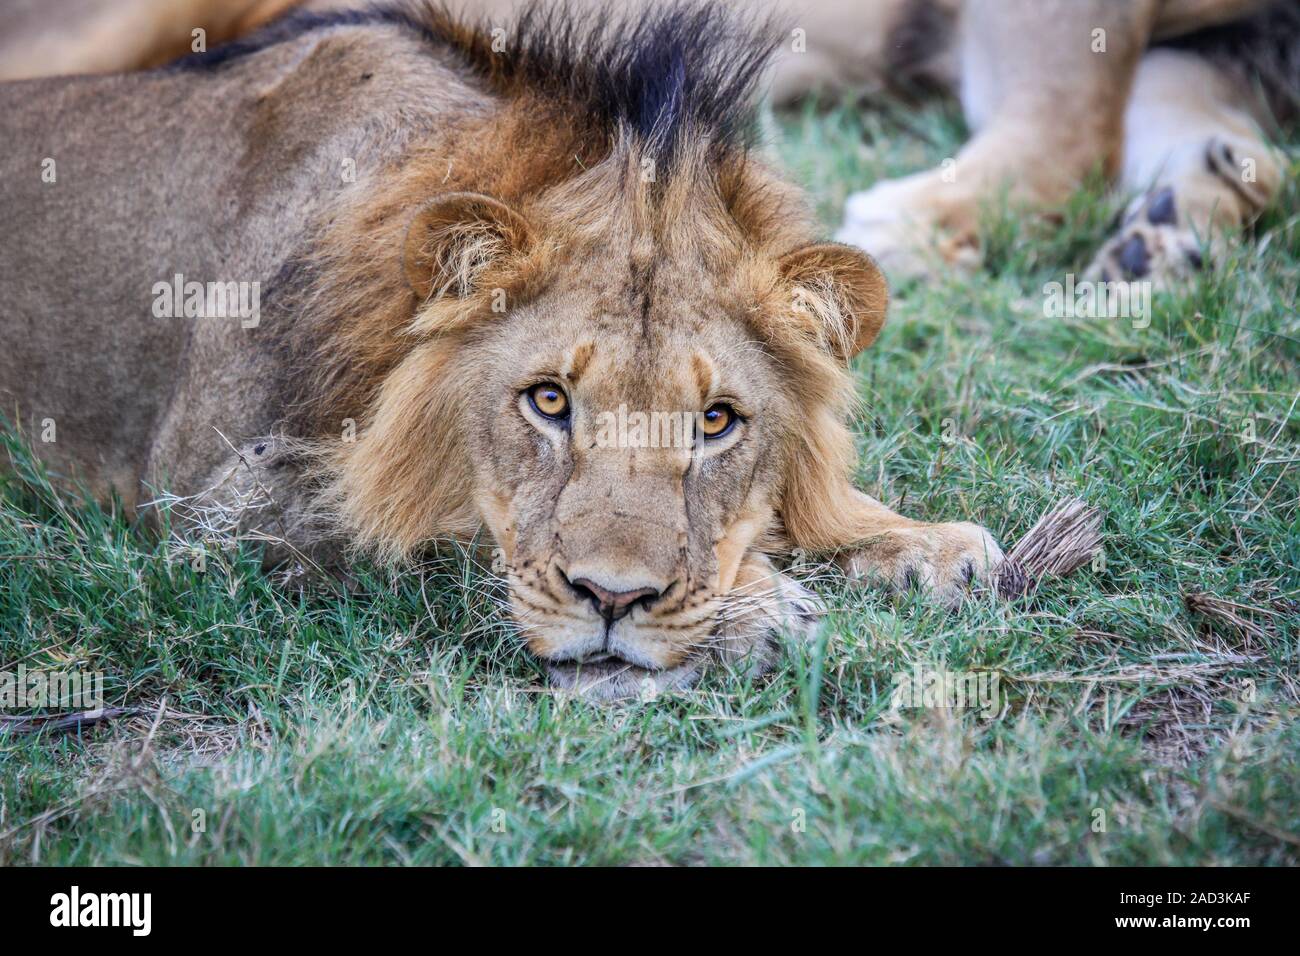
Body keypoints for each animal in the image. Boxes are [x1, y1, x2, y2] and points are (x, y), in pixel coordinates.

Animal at [0, 1, 1004, 701]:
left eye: (716, 423)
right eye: (548, 401)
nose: (614, 600)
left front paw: (924, 544)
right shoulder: (213, 512)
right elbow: (456, 535)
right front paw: (761, 609)